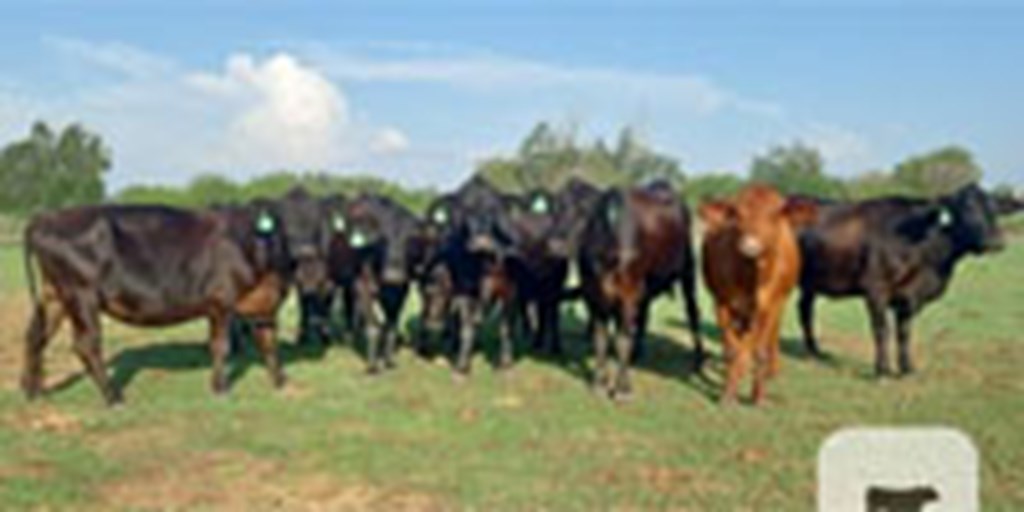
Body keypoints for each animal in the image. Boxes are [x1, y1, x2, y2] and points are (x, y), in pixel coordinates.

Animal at [22, 201, 291, 405]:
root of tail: (47, 217)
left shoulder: (263, 309)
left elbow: (269, 344)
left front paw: (280, 383)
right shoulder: (220, 301)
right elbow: (220, 346)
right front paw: (221, 389)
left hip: (55, 296)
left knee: (35, 336)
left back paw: (33, 391)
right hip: (81, 294)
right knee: (86, 344)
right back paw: (113, 397)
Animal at [342, 193, 430, 374]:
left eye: (410, 240)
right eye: (383, 239)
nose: (393, 275)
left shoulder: (401, 290)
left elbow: (391, 325)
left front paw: (389, 360)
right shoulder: (363, 287)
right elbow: (373, 327)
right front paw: (372, 366)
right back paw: (350, 337)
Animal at [578, 181, 703, 400]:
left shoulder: (627, 298)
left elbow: (622, 340)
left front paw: (622, 388)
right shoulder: (595, 301)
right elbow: (600, 340)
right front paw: (599, 383)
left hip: (688, 269)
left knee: (693, 312)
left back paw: (698, 361)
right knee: (644, 314)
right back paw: (637, 353)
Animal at [700, 184, 818, 405]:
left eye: (775, 214)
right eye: (737, 213)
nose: (750, 245)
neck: (751, 277)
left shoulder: (771, 305)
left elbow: (760, 351)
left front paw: (758, 397)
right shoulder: (721, 301)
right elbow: (731, 349)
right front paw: (728, 394)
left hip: (779, 304)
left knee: (769, 336)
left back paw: (770, 370)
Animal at [797, 183, 1004, 376]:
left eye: (994, 208)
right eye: (968, 207)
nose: (996, 242)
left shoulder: (908, 297)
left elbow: (904, 332)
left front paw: (907, 368)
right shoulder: (876, 289)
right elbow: (882, 330)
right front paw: (882, 369)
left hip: (810, 282)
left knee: (805, 309)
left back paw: (814, 351)